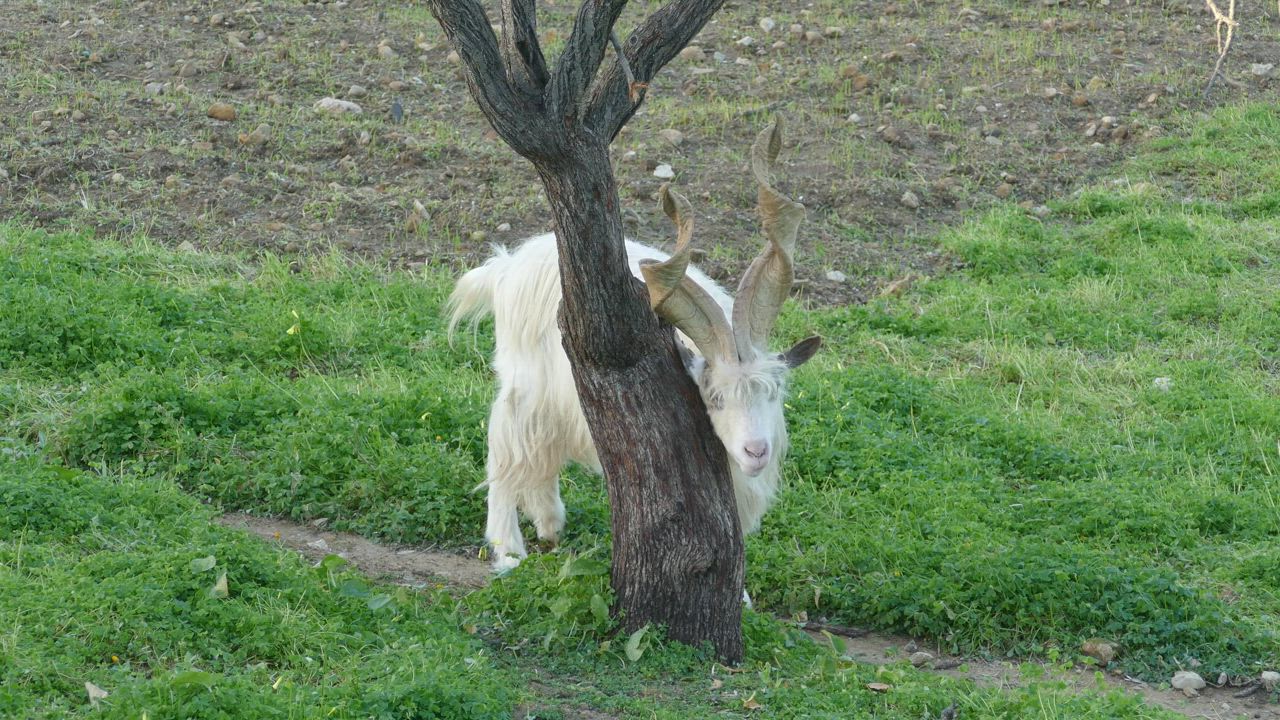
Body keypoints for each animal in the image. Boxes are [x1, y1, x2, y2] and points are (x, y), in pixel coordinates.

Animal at [448, 120, 820, 572]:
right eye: (713, 397)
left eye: (774, 391)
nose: (756, 451)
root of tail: (507, 266)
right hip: (525, 382)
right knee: (506, 450)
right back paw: (508, 551)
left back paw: (550, 524)